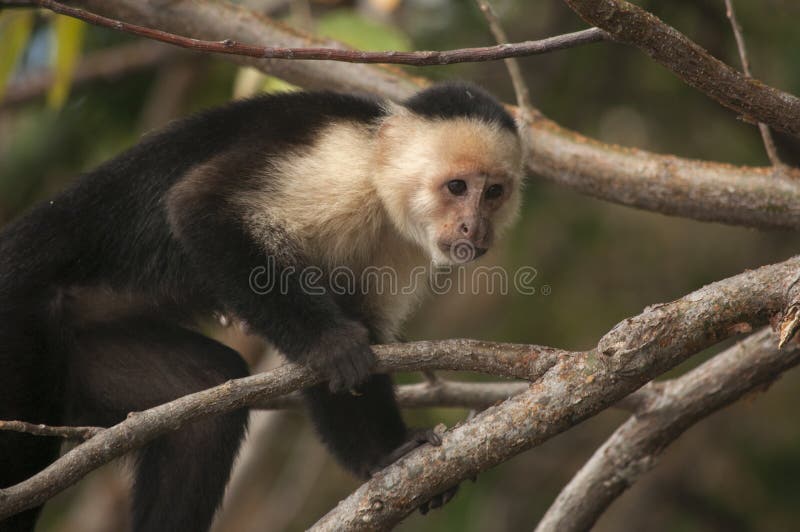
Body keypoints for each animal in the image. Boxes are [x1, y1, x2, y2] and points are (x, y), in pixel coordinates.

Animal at [0, 81, 523, 531]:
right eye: (457, 187)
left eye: (494, 193)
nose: (475, 229)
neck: (379, 186)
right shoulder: (337, 163)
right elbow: (199, 206)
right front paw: (331, 345)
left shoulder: (398, 246)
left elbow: (362, 335)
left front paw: (388, 453)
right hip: (21, 311)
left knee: (204, 401)